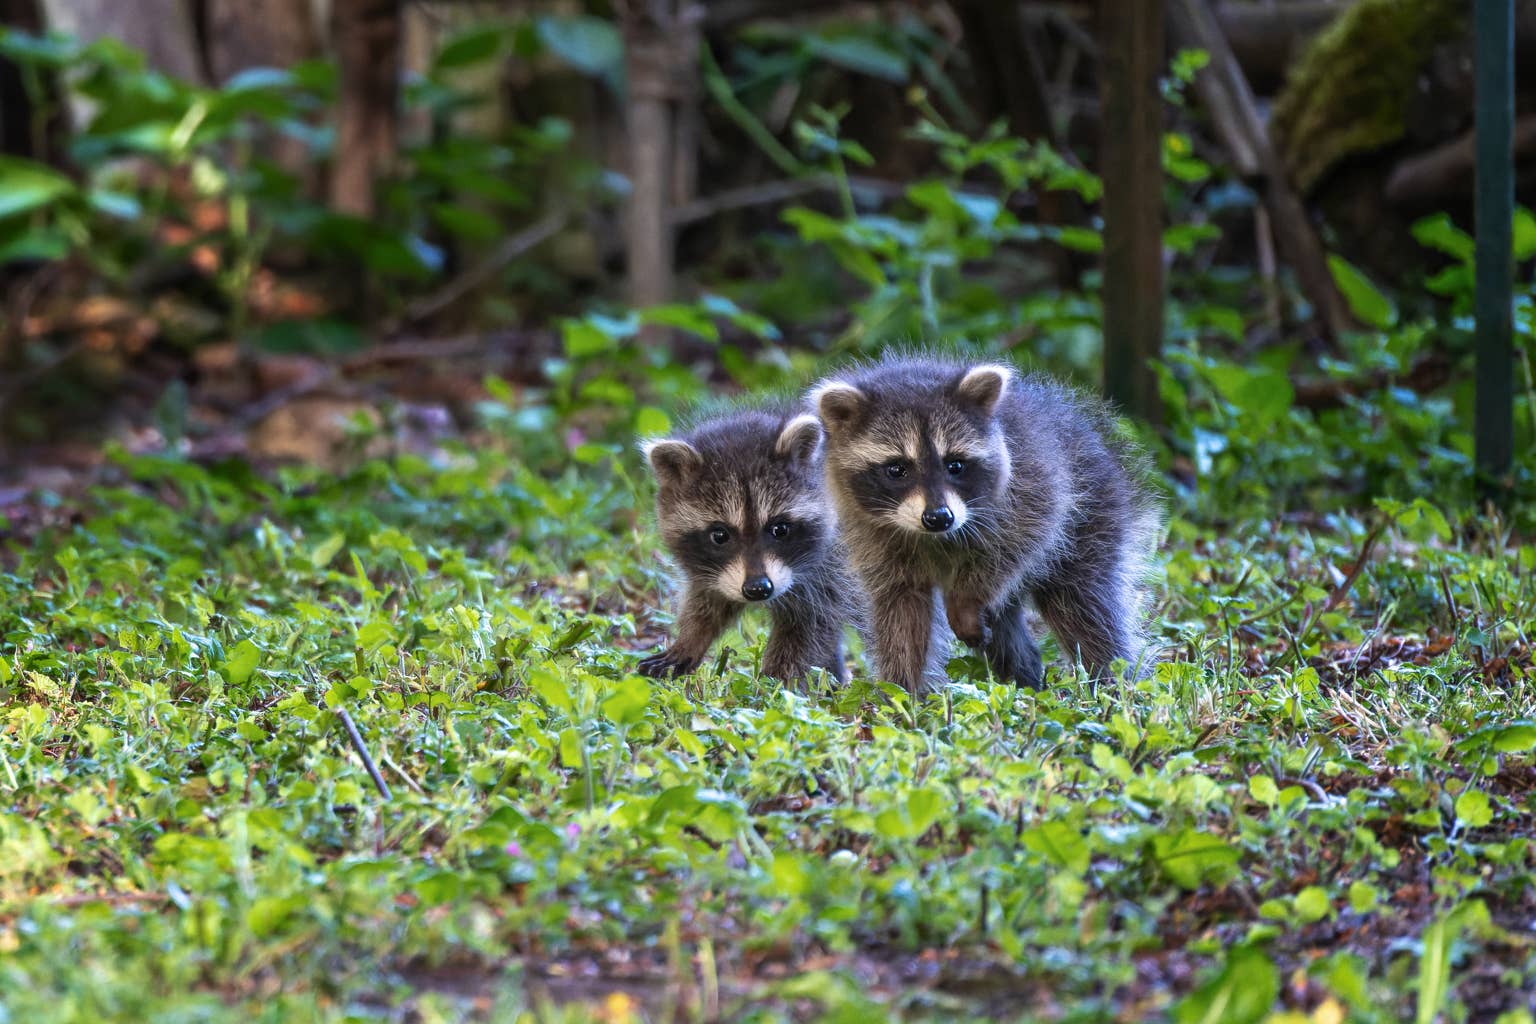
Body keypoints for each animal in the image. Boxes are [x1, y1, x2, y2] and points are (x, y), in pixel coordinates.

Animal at [638, 405, 857, 683]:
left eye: (780, 529)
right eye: (719, 535)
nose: (758, 588)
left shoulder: (834, 563)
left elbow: (811, 625)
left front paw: (774, 681)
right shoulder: (717, 572)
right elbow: (708, 600)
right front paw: (689, 640)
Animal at [810, 355, 1162, 693]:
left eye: (954, 465)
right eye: (897, 469)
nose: (939, 517)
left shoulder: (1033, 485)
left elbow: (1020, 543)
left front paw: (966, 601)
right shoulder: (871, 534)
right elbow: (902, 611)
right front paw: (902, 690)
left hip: (1093, 510)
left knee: (1085, 606)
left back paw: (1115, 681)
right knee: (1013, 628)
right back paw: (1026, 673)